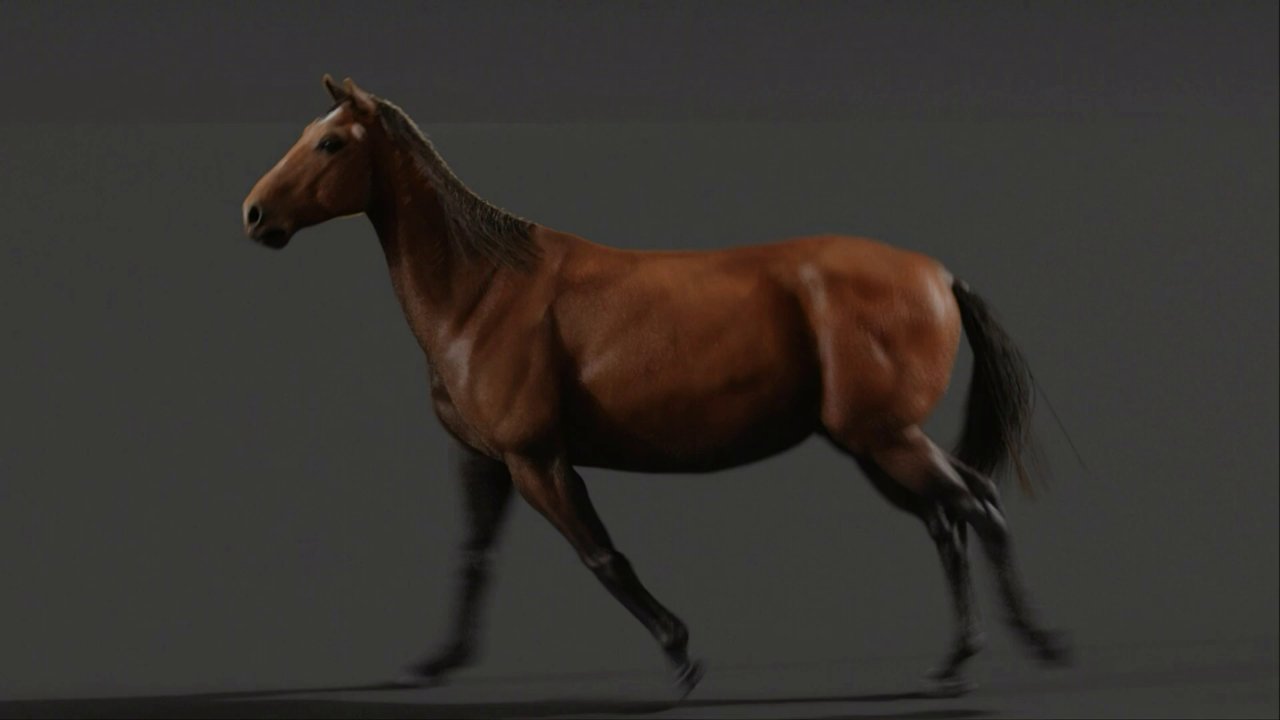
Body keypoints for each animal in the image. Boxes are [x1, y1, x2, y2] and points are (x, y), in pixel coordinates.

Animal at [241, 75, 1069, 697]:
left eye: (330, 142)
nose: (253, 214)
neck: (483, 292)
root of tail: (938, 274)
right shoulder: (485, 461)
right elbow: (475, 557)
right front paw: (434, 664)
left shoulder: (538, 458)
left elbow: (602, 555)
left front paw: (682, 652)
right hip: (879, 444)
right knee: (957, 514)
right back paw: (988, 654)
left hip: (884, 439)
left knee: (973, 511)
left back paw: (1005, 655)